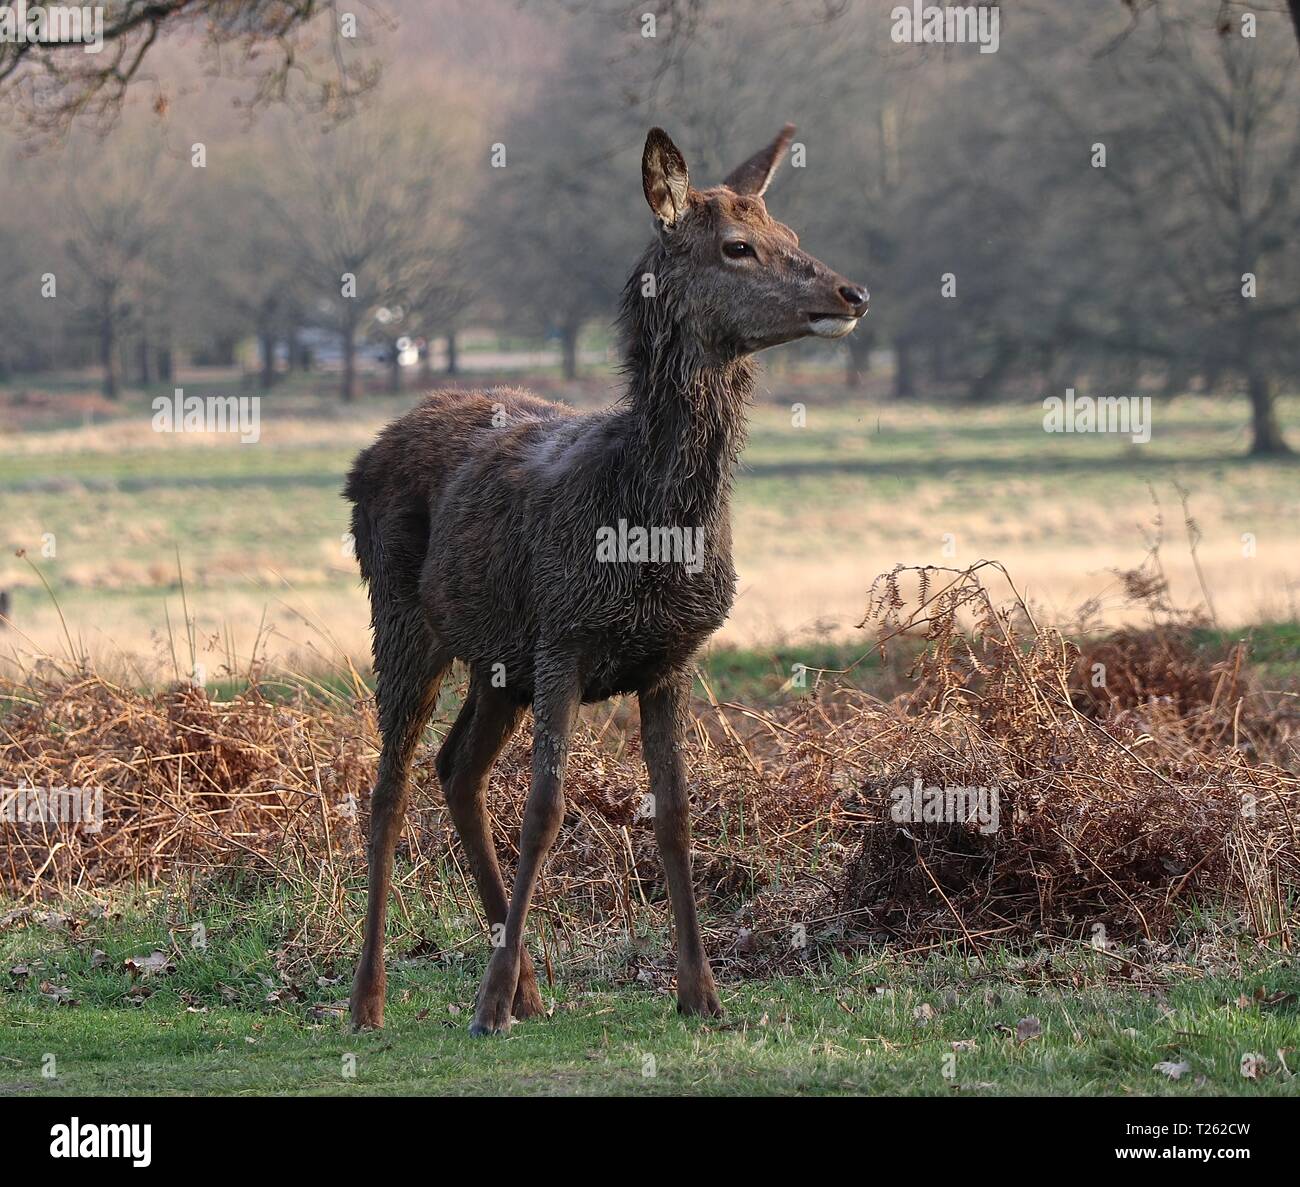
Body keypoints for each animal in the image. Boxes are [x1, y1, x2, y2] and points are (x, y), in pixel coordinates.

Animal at [346, 124, 868, 1034]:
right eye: (736, 246)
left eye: (789, 231)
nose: (851, 291)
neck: (646, 518)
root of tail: (361, 460)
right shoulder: (565, 636)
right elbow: (545, 809)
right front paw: (486, 1006)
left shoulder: (671, 656)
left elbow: (677, 812)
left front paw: (701, 991)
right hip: (405, 620)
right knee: (389, 787)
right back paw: (371, 998)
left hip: (497, 662)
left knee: (457, 768)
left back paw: (528, 984)